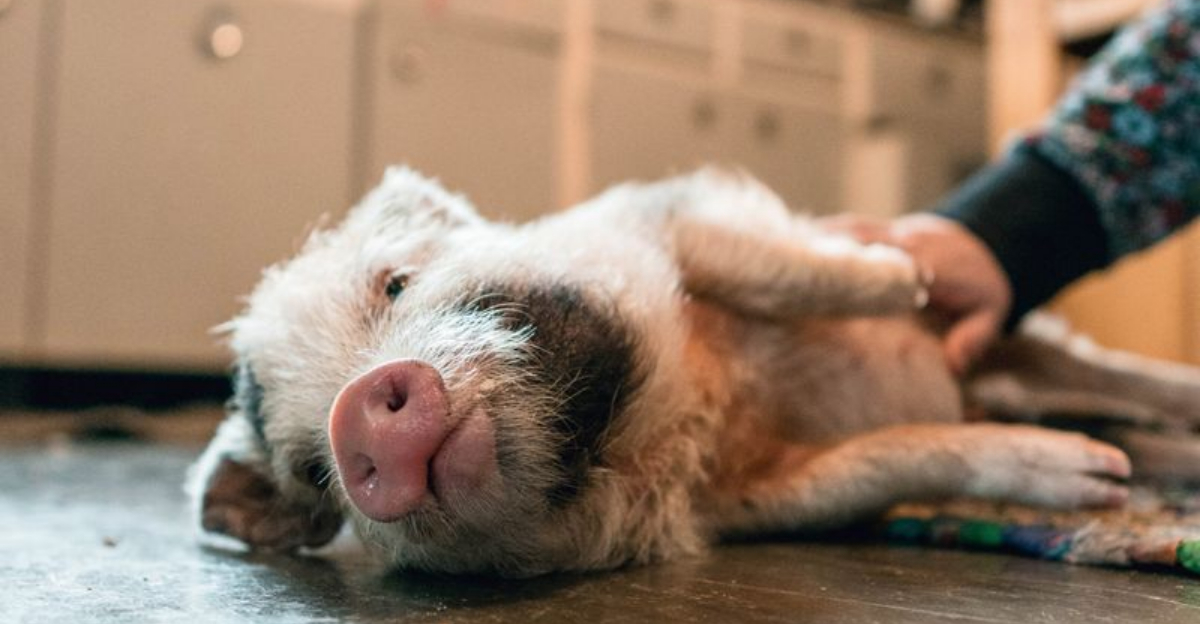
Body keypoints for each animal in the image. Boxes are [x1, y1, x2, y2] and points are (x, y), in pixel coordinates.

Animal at [188, 167, 1200, 577]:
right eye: (310, 471)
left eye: (394, 281)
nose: (356, 416)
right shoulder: (757, 499)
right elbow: (897, 457)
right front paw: (1093, 487)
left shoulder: (679, 220)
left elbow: (779, 266)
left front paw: (898, 274)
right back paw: (1121, 471)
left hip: (1032, 347)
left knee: (1121, 376)